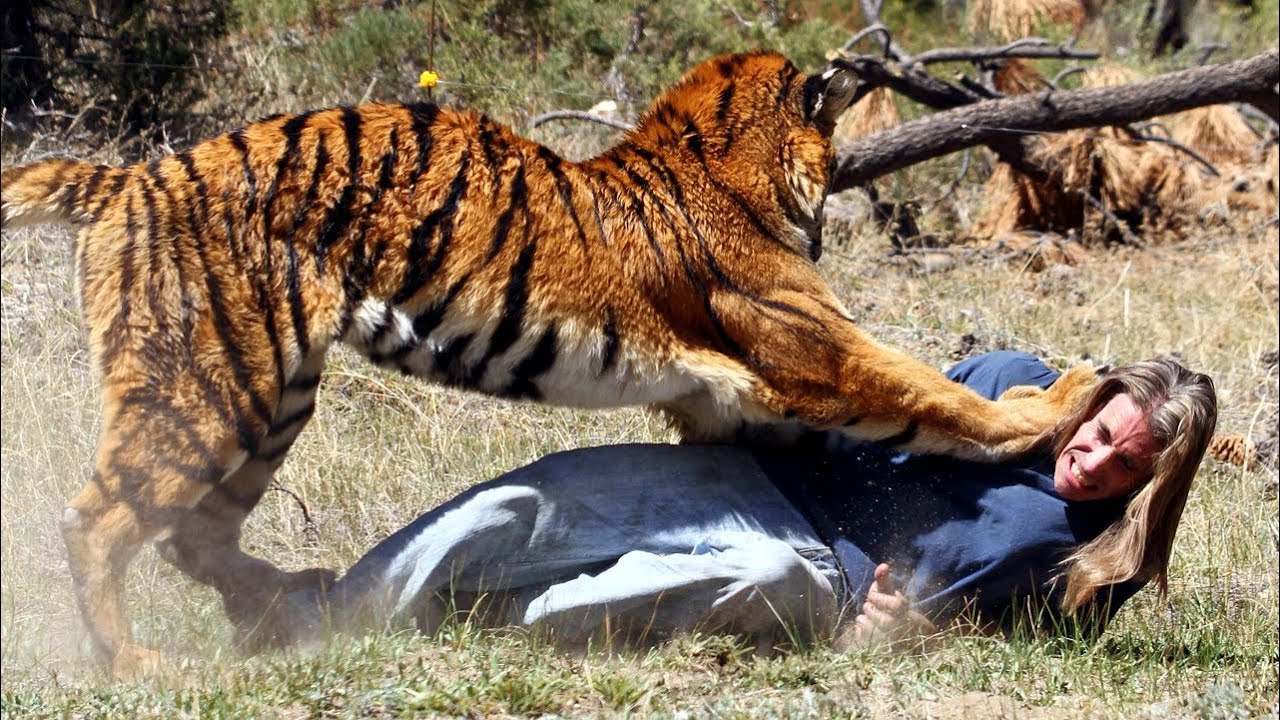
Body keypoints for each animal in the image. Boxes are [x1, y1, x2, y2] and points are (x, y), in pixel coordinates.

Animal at [0, 51, 1097, 676]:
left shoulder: (735, 399)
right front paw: (1061, 398)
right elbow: (935, 395)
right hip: (209, 385)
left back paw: (279, 602)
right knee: (100, 522)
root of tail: (124, 179)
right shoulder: (813, 352)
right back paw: (135, 662)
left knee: (192, 533)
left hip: (270, 402)